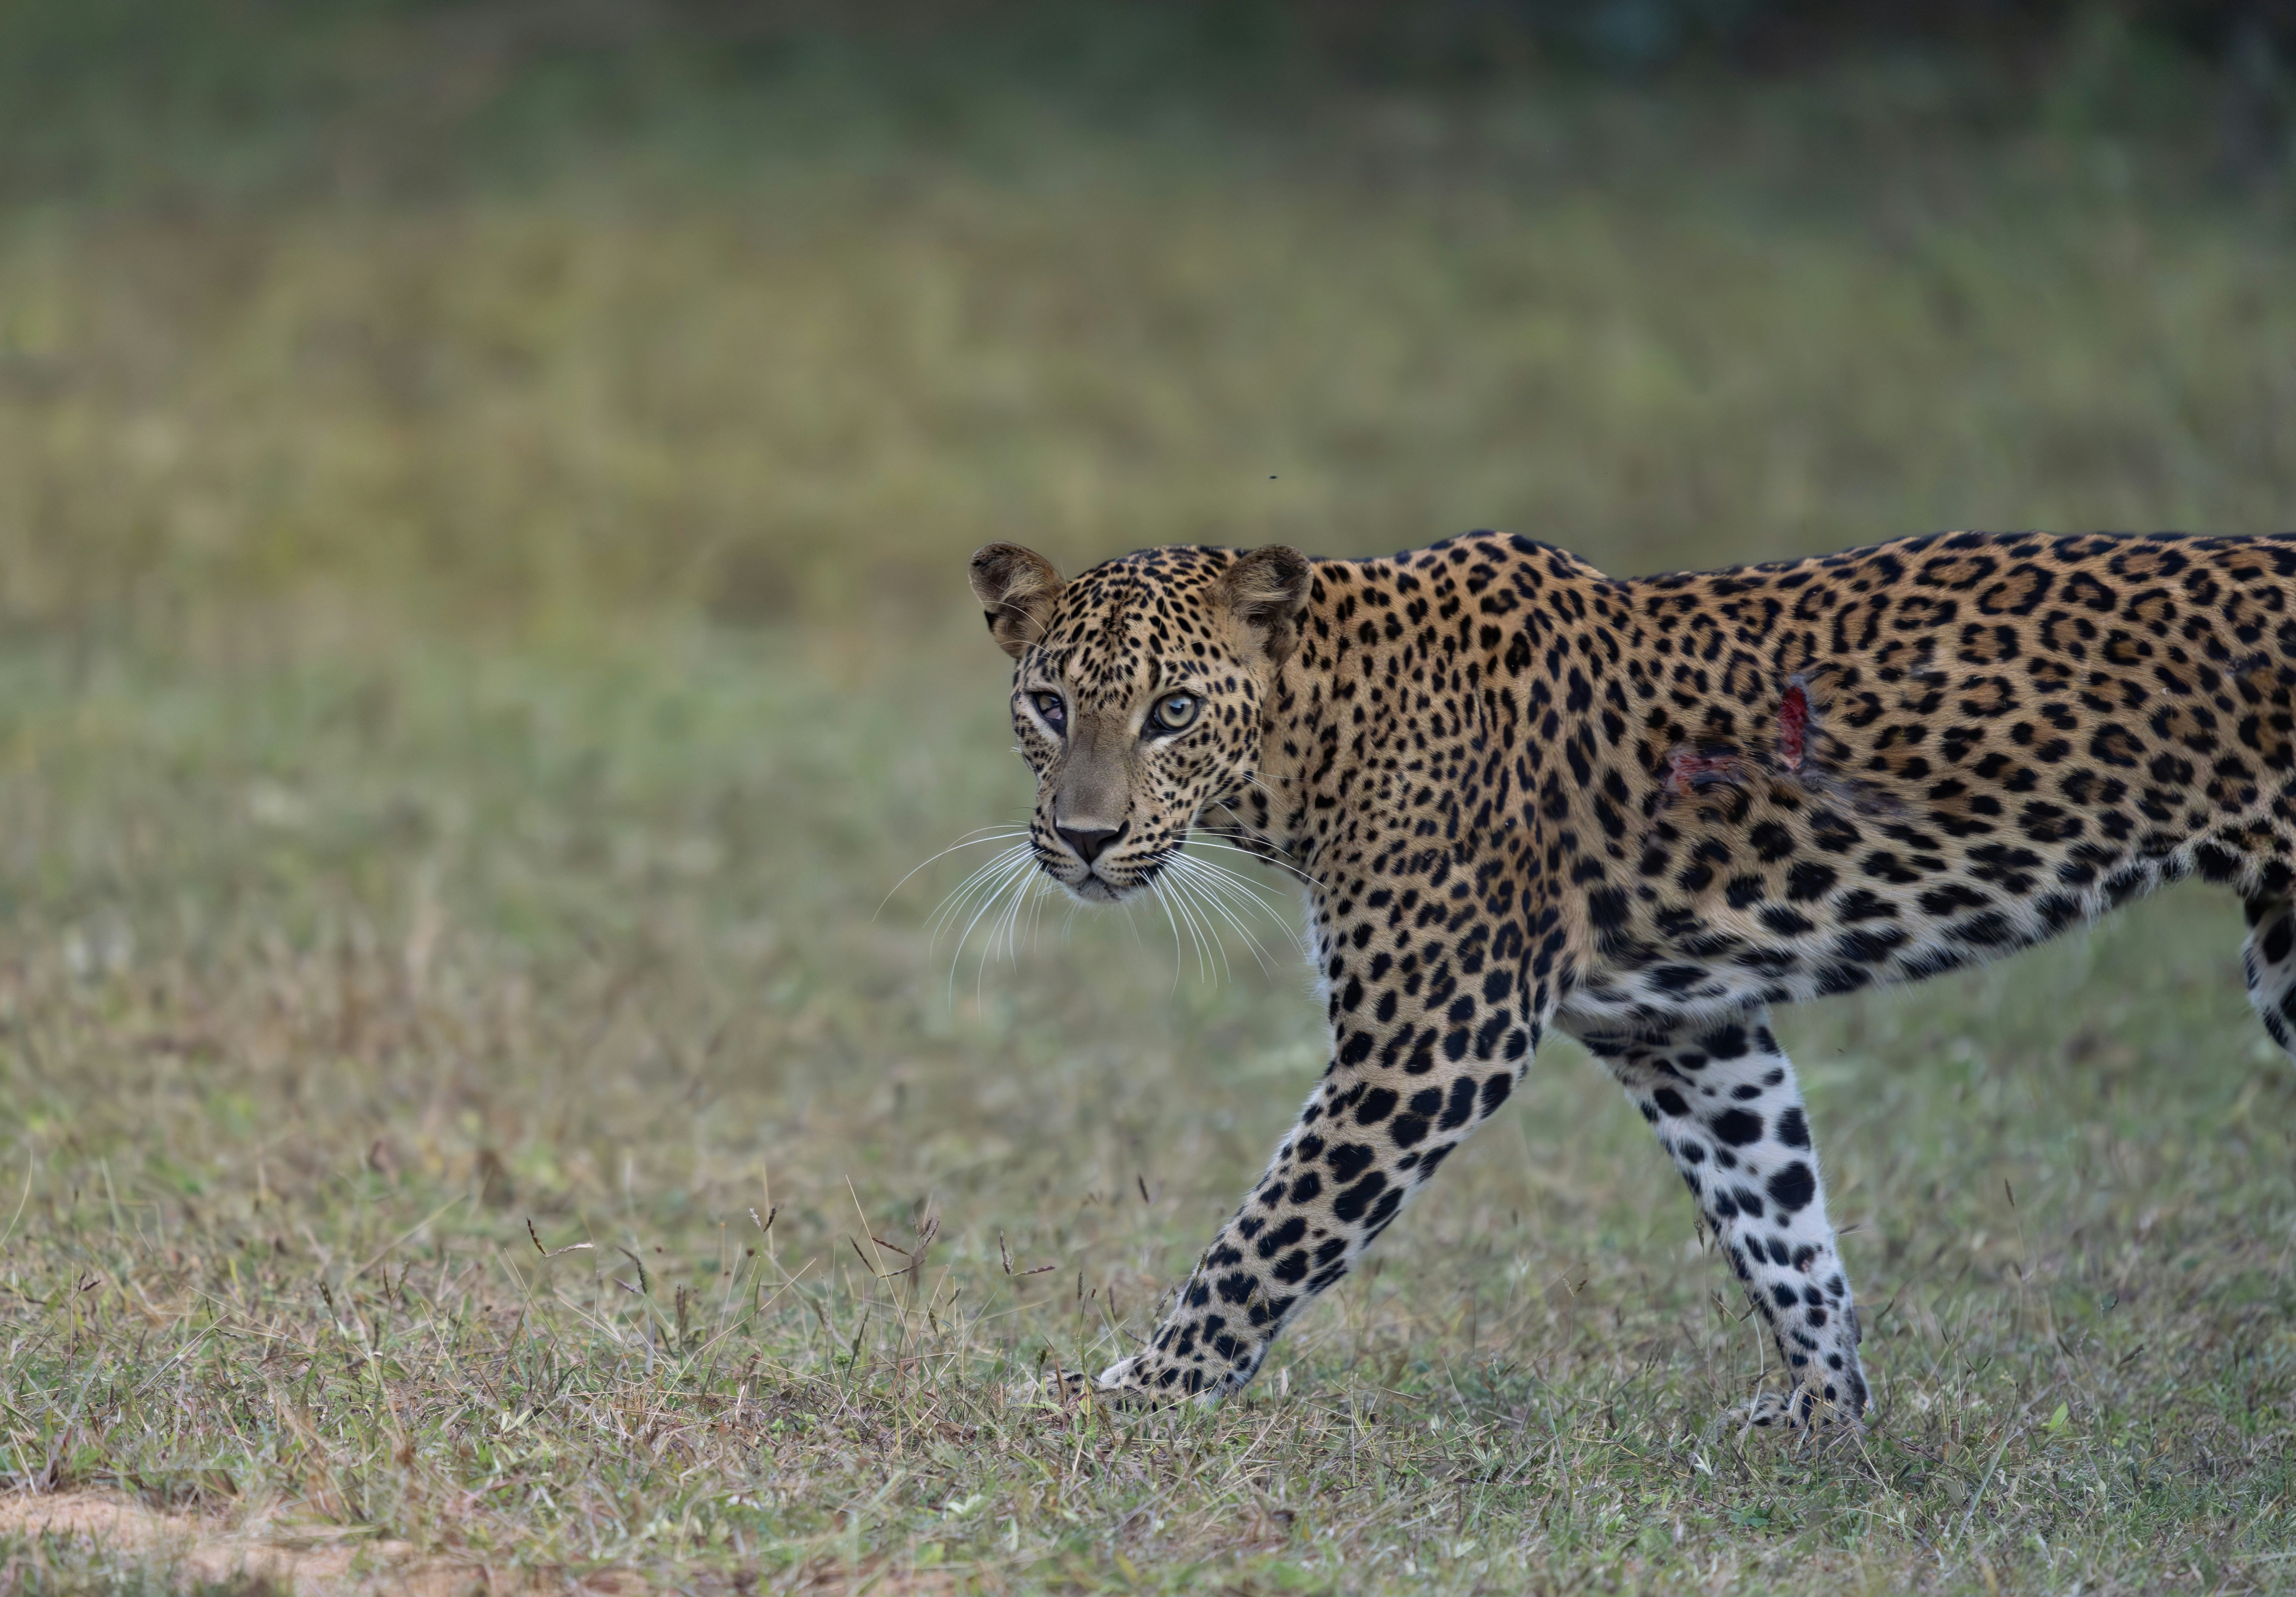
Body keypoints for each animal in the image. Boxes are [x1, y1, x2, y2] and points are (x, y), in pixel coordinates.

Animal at [964, 527, 2296, 1435]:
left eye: (1175, 711)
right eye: (1049, 704)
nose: (1083, 839)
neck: (1315, 742)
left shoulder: (1435, 1035)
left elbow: (1271, 1232)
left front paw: (1143, 1390)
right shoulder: (1686, 1032)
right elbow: (1780, 1219)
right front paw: (1828, 1413)